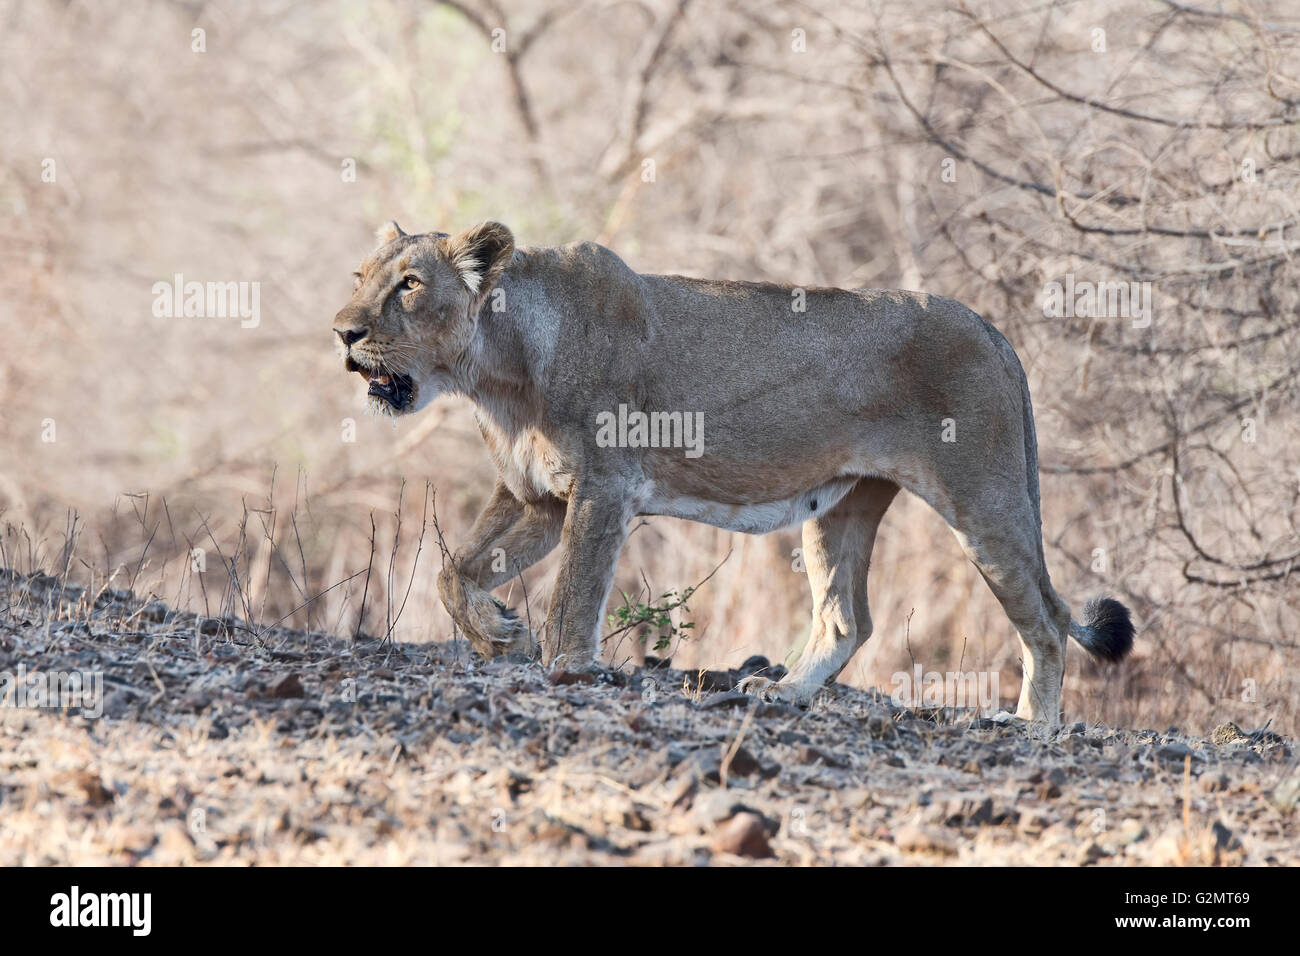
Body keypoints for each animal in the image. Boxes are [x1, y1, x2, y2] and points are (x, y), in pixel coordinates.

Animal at [332, 220, 1134, 726]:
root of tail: (996, 333)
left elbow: (570, 601)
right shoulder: (534, 497)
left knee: (1044, 624)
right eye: (360, 276)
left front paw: (560, 666)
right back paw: (781, 695)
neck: (496, 371)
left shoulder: (603, 488)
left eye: (409, 284)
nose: (342, 331)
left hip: (984, 500)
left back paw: (1032, 723)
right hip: (842, 507)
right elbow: (454, 571)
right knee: (847, 619)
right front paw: (500, 634)